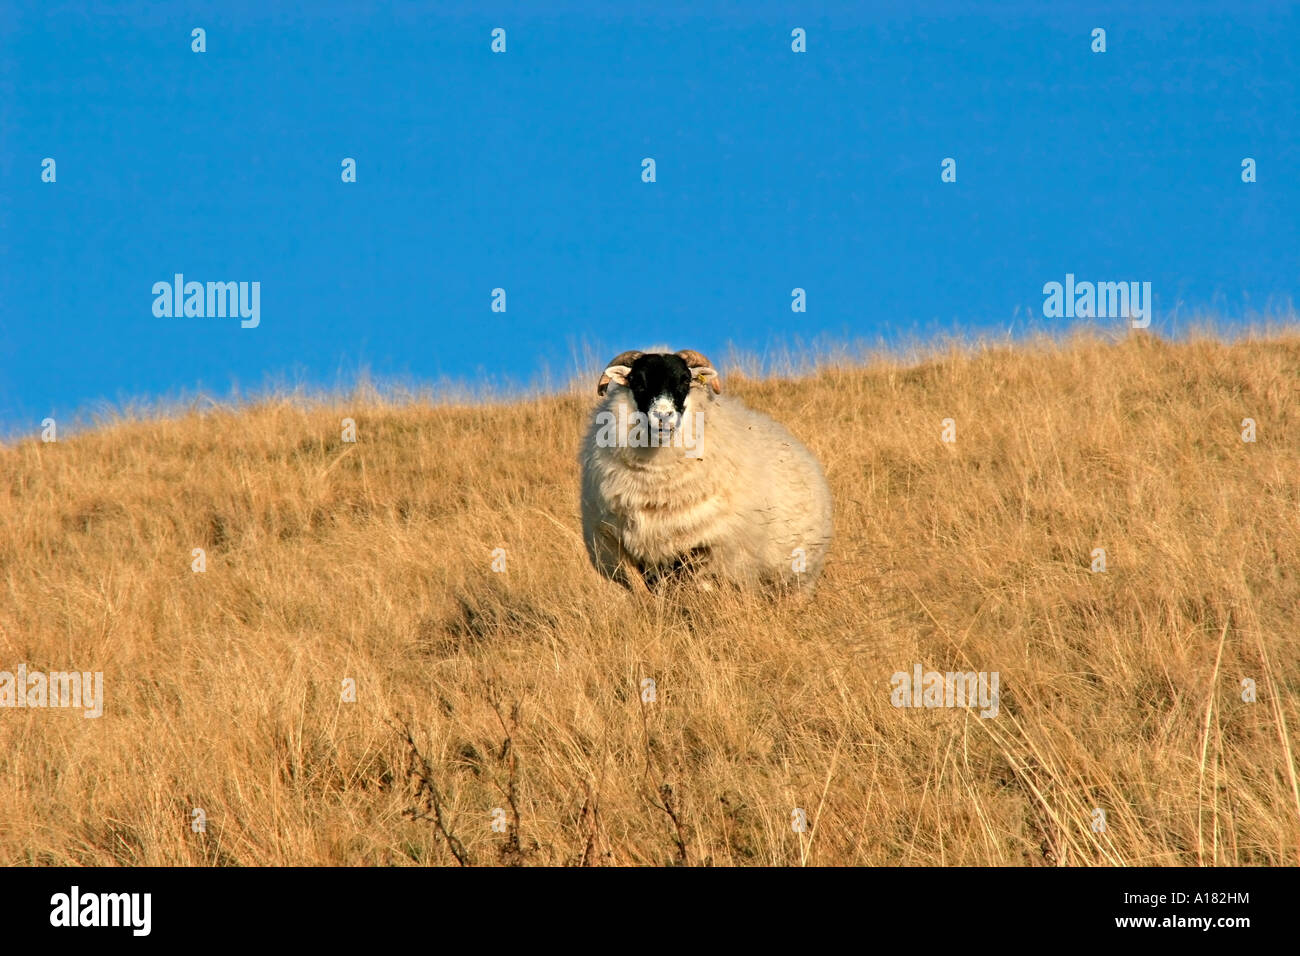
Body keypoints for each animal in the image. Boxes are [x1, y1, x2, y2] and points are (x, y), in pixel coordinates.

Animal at [579, 348, 833, 594]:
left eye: (685, 380)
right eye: (637, 381)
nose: (663, 416)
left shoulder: (703, 547)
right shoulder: (631, 552)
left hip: (796, 580)